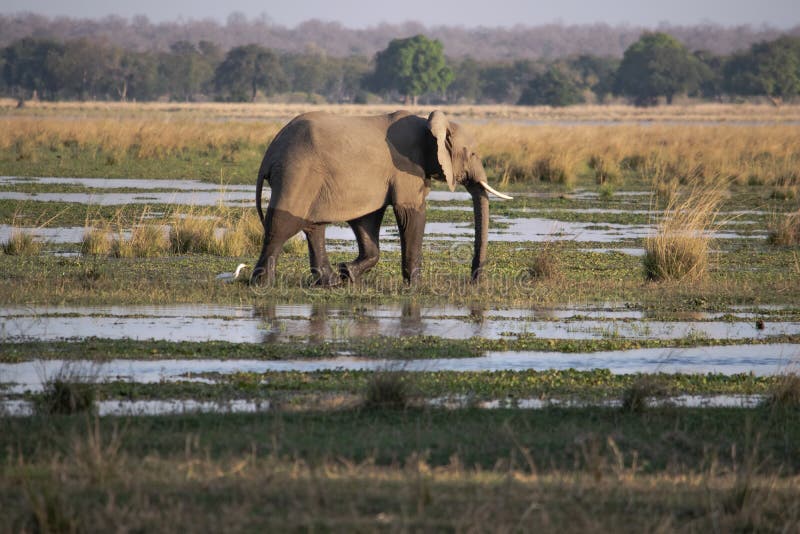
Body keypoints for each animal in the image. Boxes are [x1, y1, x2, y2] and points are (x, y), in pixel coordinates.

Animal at [250, 109, 511, 286]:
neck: (429, 125)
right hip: (297, 171)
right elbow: (410, 213)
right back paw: (262, 284)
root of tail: (271, 151)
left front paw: (348, 273)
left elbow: (367, 220)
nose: (475, 280)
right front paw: (416, 286)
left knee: (314, 225)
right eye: (473, 153)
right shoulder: (407, 167)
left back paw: (330, 282)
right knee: (283, 224)